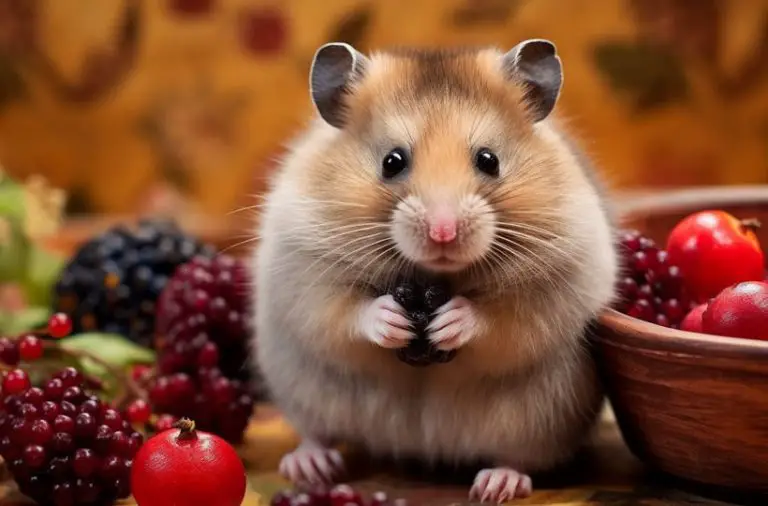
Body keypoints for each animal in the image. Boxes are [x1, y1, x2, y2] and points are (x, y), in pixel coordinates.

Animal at [252, 39, 618, 503]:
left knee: (517, 459)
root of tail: (419, 449)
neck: (433, 276)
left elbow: (501, 319)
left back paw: (496, 485)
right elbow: (346, 312)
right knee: (315, 433)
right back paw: (309, 466)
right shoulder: (304, 269)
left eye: (489, 160)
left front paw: (450, 321)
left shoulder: (557, 279)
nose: (443, 232)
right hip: (303, 391)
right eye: (392, 161)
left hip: (540, 420)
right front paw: (392, 320)